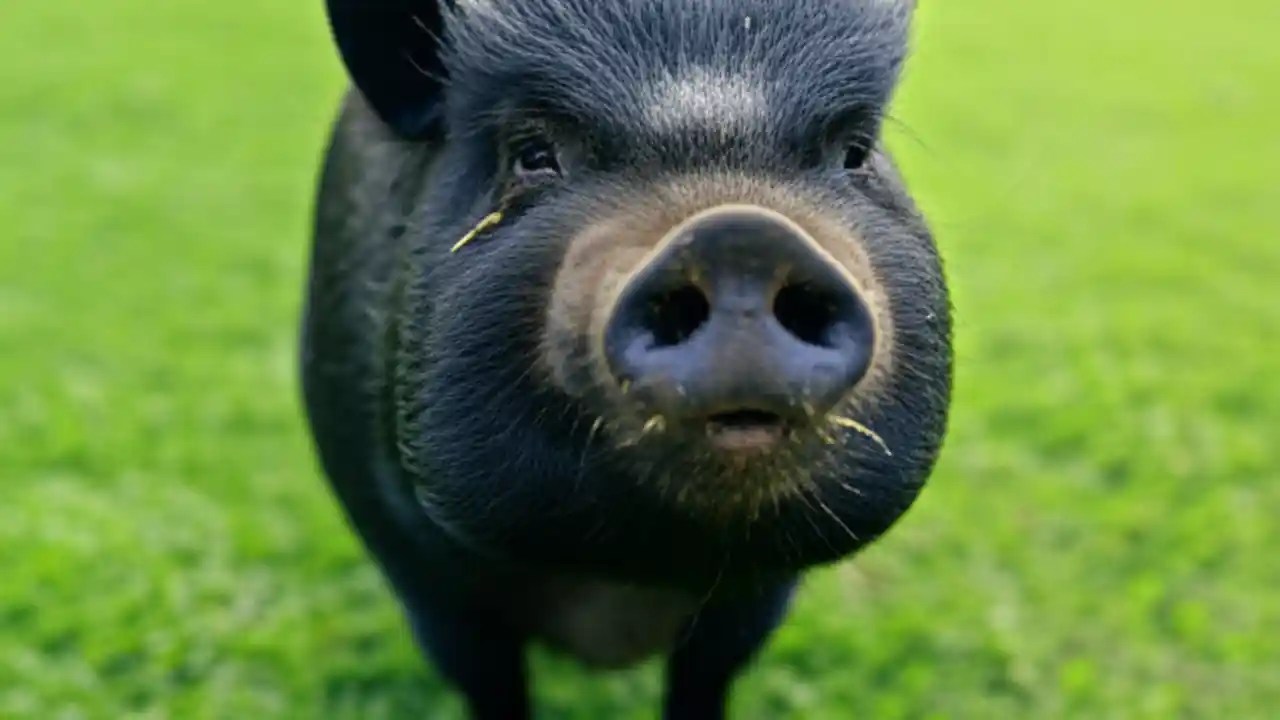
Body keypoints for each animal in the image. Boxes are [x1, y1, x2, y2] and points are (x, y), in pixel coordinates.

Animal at [300, 0, 952, 717]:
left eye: (856, 152)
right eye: (532, 154)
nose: (741, 234)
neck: (630, 574)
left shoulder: (756, 597)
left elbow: (703, 682)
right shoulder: (420, 572)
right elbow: (490, 685)